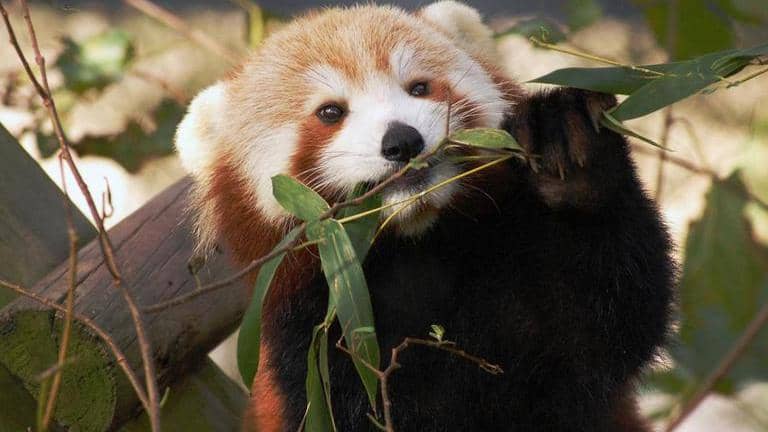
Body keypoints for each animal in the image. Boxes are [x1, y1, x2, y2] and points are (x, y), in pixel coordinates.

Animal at [175, 2, 675, 431]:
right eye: (330, 112)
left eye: (418, 87)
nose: (402, 140)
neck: (413, 249)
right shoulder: (314, 346)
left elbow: (603, 323)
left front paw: (568, 149)